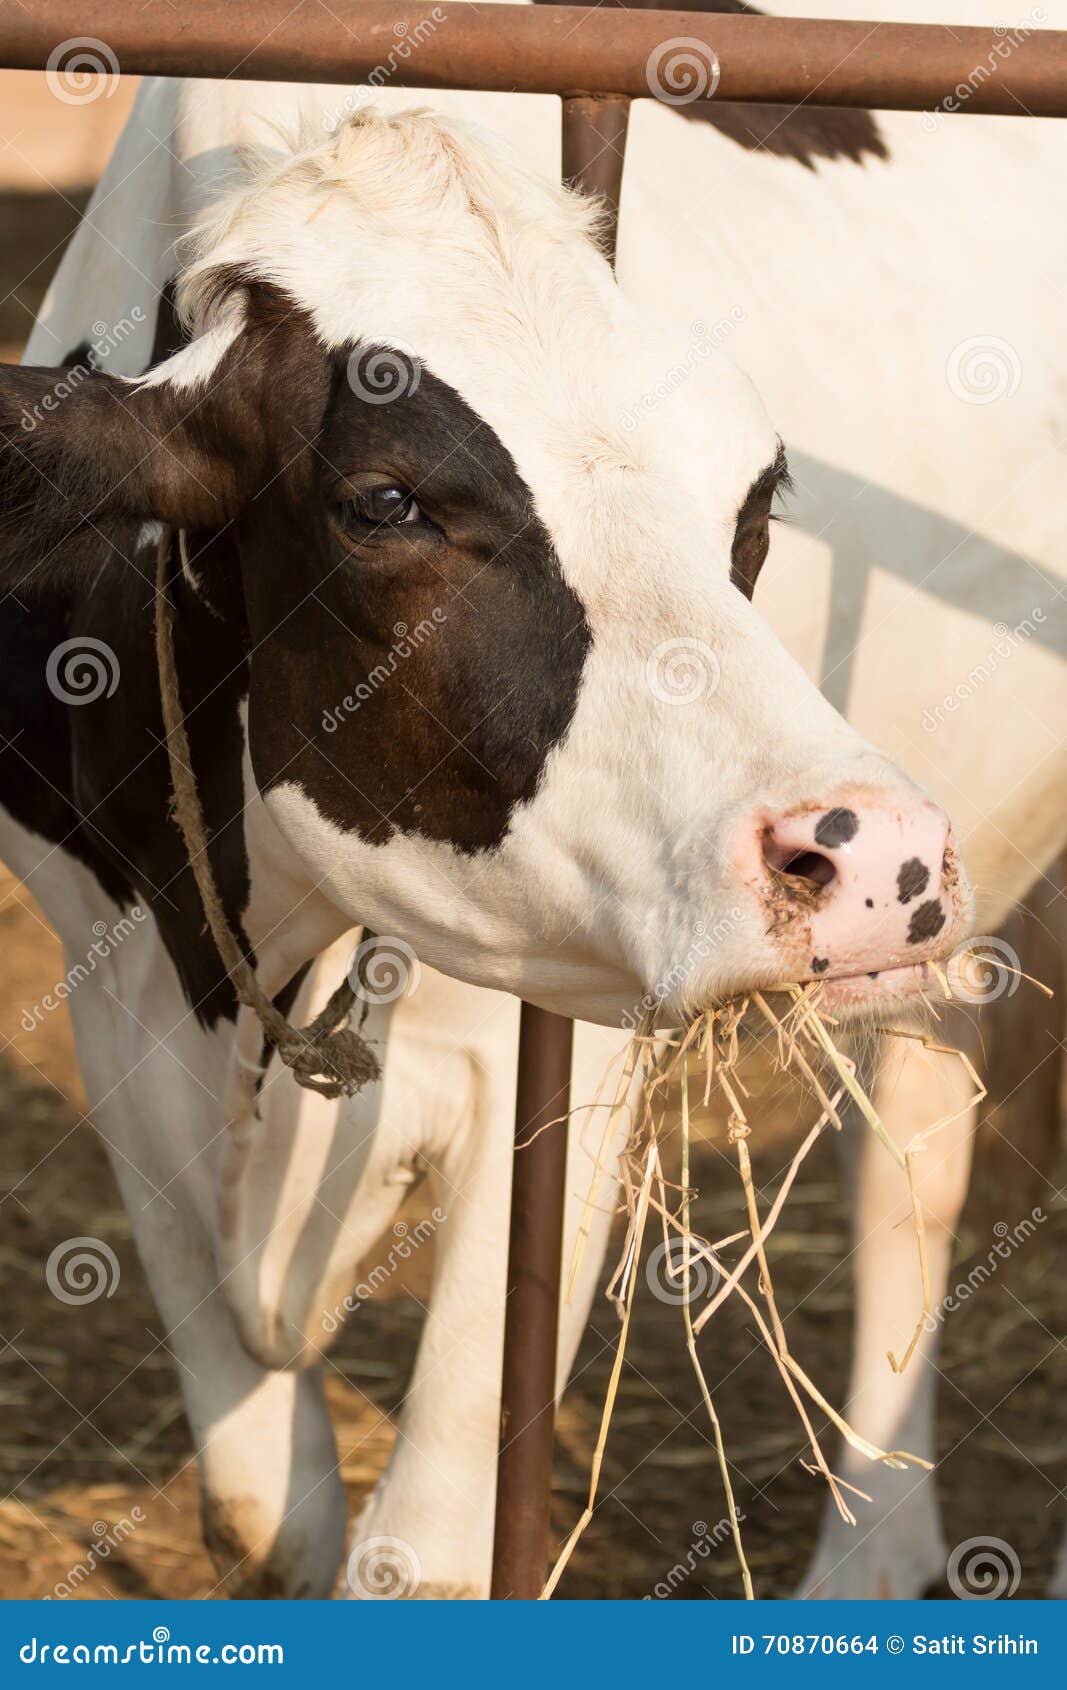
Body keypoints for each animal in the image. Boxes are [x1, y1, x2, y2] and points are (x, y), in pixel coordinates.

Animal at [2, 0, 1063, 1600]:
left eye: (752, 498)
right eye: (386, 503)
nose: (876, 848)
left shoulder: (557, 1059)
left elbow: (414, 1556)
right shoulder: (112, 1000)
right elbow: (263, 1512)